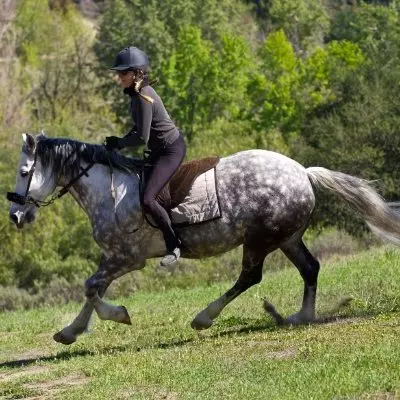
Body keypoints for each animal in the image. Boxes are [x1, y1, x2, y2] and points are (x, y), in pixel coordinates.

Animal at [6, 134, 400, 344]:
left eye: (25, 171)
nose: (15, 215)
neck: (109, 191)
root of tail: (303, 172)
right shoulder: (113, 257)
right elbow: (93, 289)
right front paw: (70, 331)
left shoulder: (127, 258)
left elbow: (91, 288)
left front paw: (117, 315)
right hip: (286, 238)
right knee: (310, 268)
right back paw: (302, 316)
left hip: (259, 238)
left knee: (250, 276)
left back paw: (204, 317)